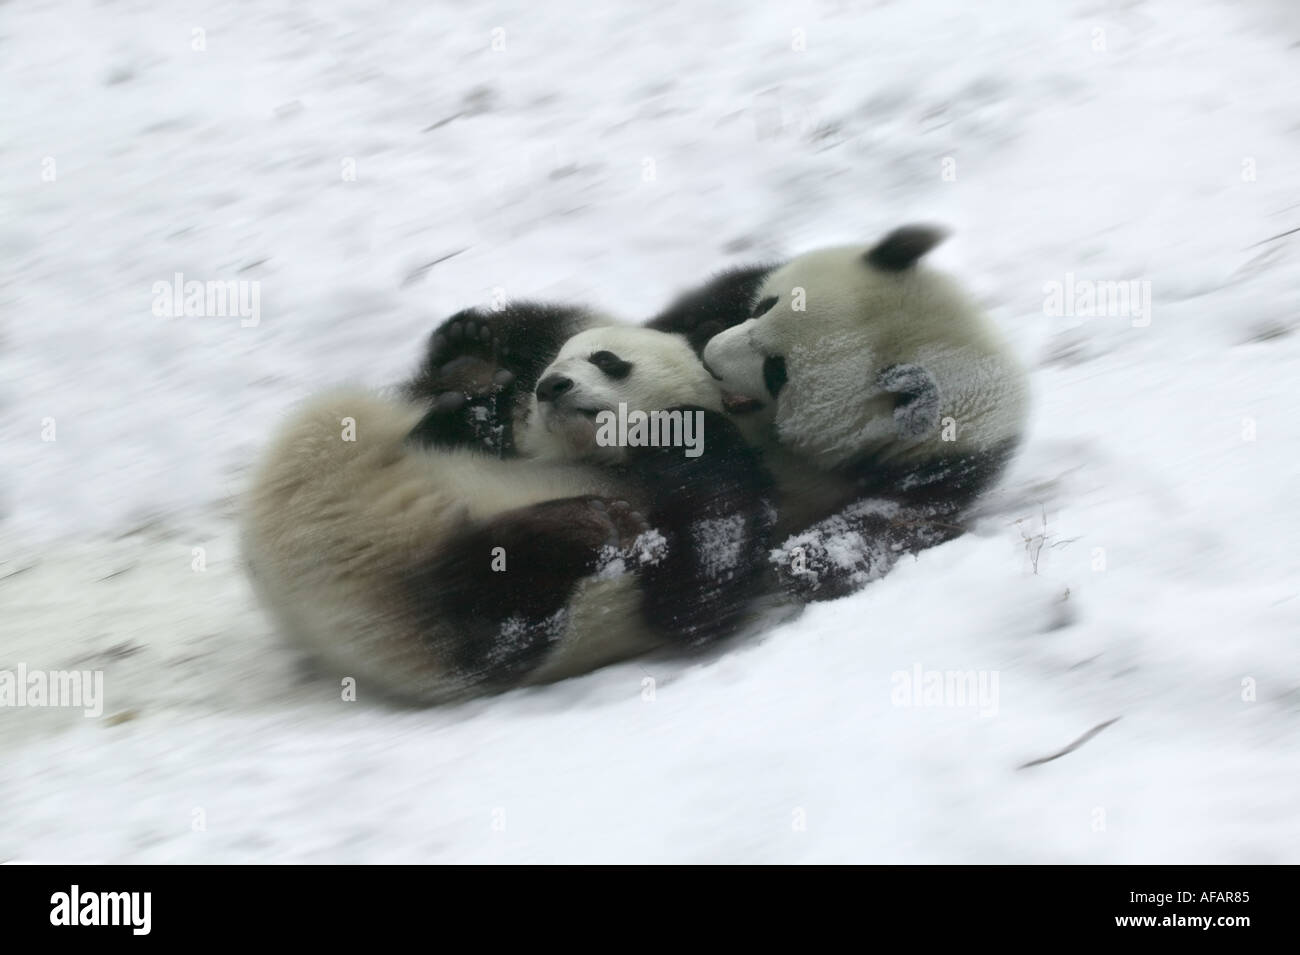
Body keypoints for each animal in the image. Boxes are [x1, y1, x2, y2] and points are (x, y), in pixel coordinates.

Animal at [241, 324, 775, 705]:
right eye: (550, 367)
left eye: (606, 359)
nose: (551, 385)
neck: (606, 460)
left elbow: (694, 600)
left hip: (466, 636)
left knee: (492, 603)